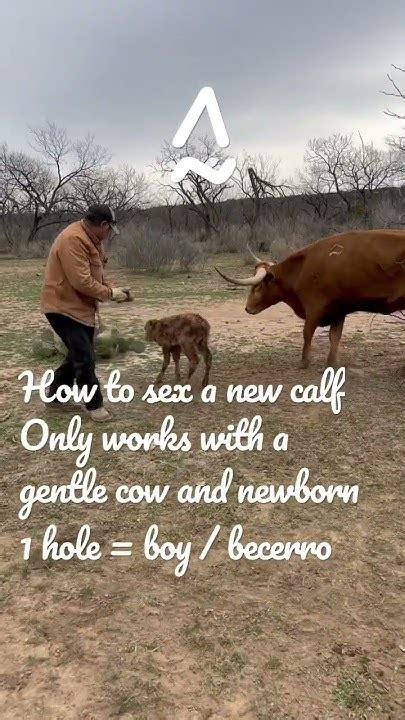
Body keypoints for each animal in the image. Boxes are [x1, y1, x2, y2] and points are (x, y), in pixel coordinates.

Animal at [215, 229, 405, 369]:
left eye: (258, 285)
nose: (247, 308)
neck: (302, 268)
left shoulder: (314, 308)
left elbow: (307, 333)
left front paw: (304, 362)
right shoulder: (338, 310)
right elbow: (334, 337)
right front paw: (331, 363)